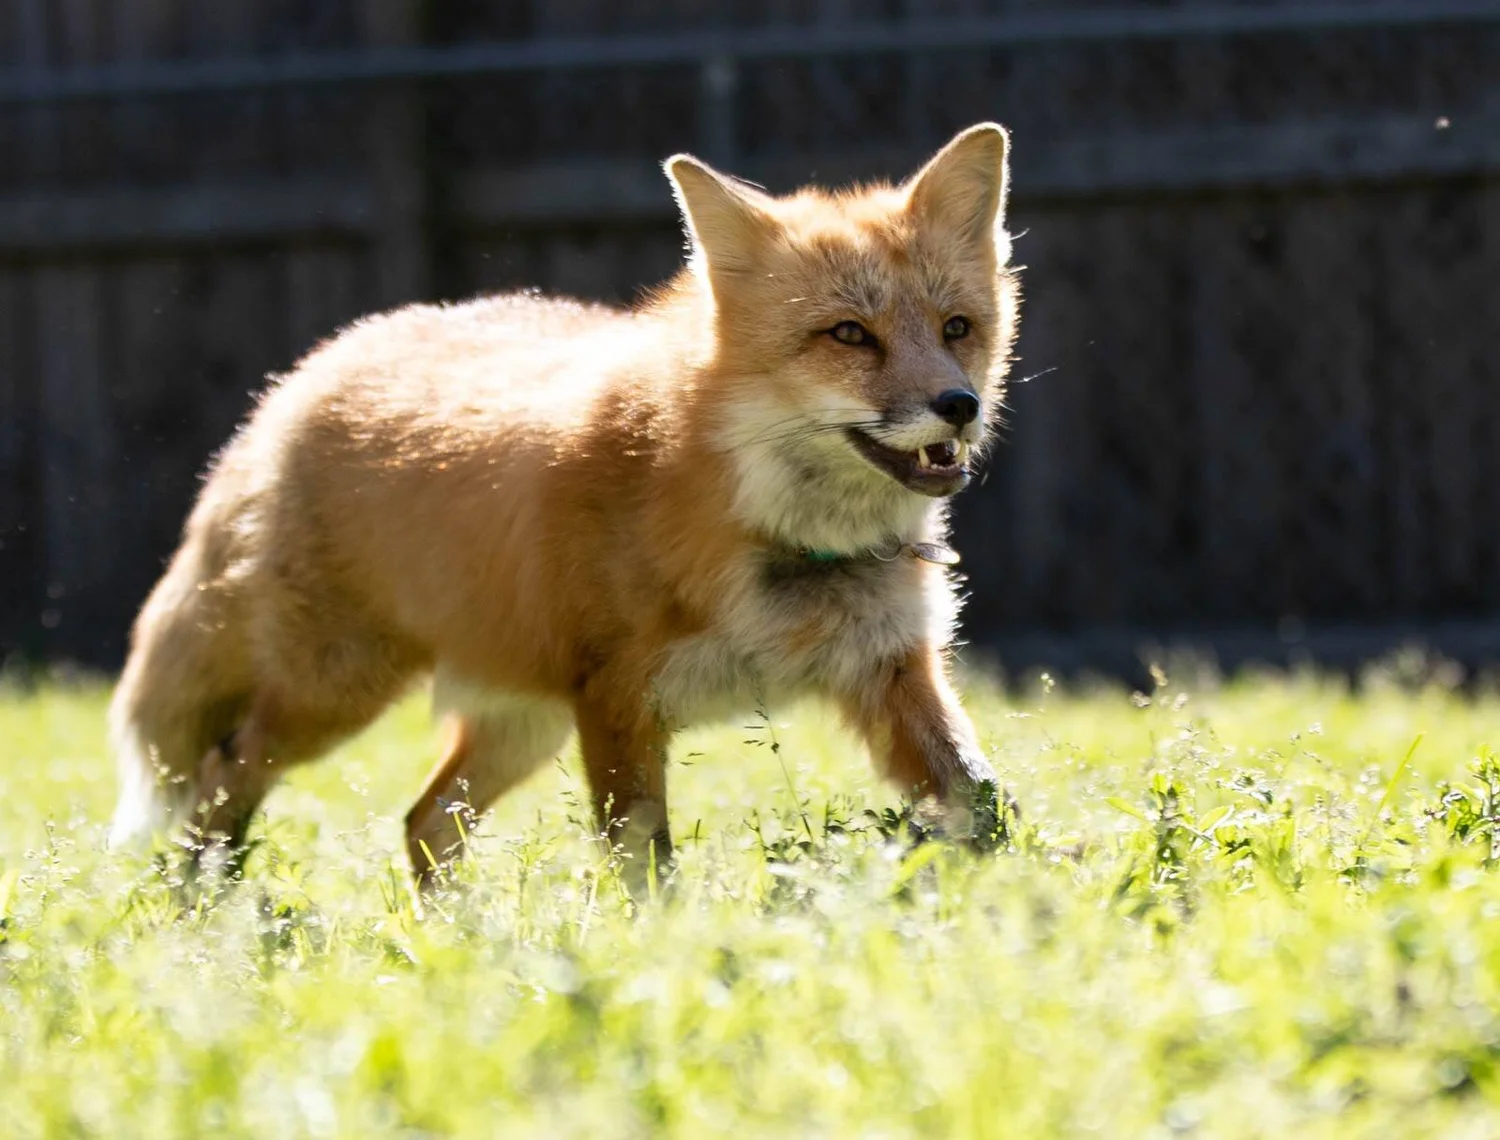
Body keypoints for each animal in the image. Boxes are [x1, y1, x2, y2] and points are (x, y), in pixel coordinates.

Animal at [108, 122, 1022, 887]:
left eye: (956, 327)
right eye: (849, 335)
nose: (959, 405)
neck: (775, 537)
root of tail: (304, 374)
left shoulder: (890, 668)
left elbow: (987, 807)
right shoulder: (617, 700)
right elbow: (645, 864)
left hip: (518, 722)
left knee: (422, 824)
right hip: (332, 697)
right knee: (223, 779)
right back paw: (207, 914)